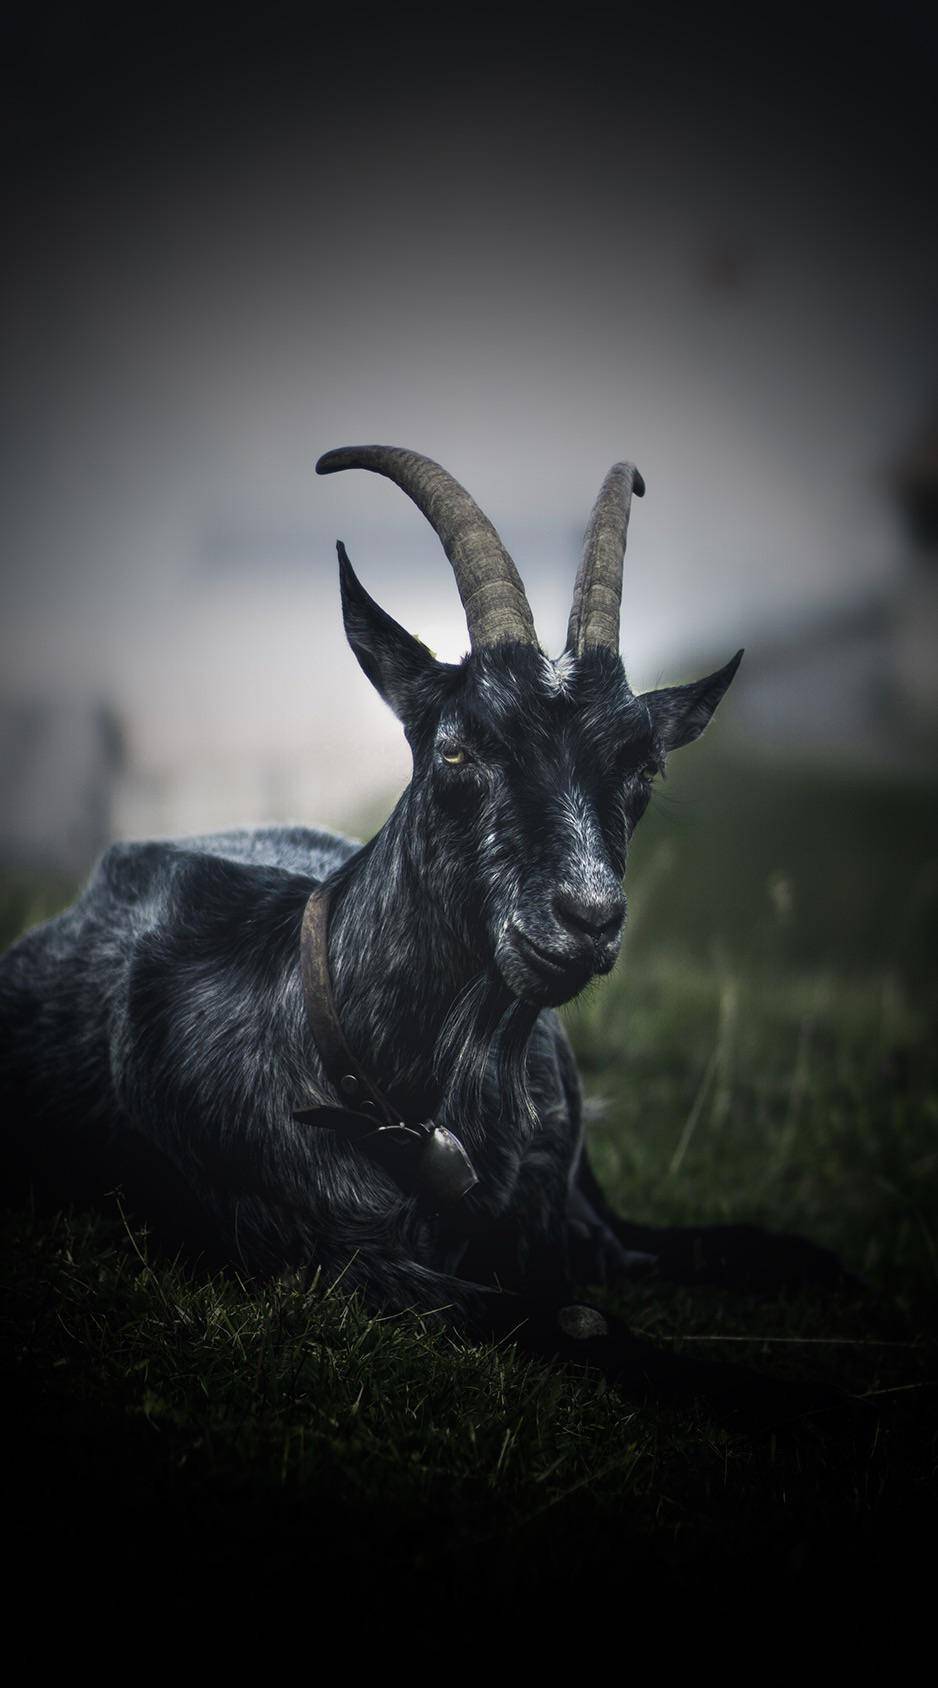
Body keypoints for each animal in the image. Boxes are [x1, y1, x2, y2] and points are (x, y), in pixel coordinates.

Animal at [1, 446, 841, 1400]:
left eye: (646, 767)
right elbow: (578, 1320)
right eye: (456, 747)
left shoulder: (557, 1229)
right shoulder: (337, 1264)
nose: (586, 918)